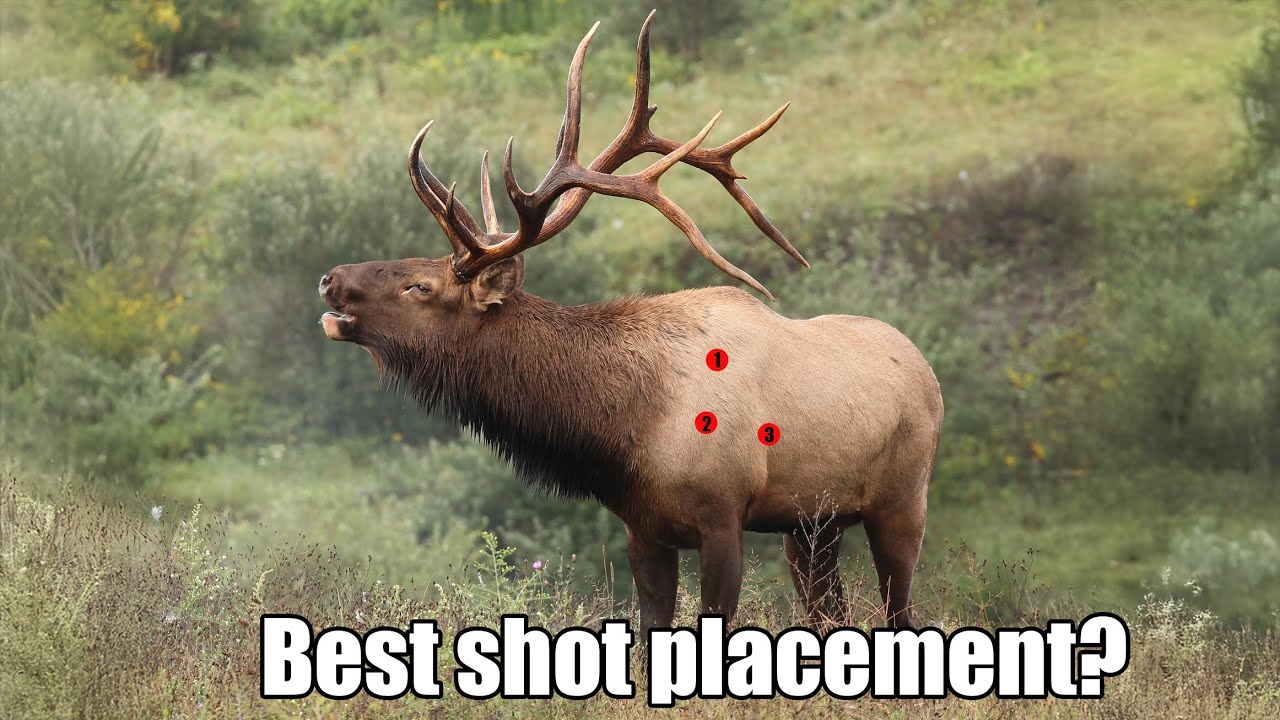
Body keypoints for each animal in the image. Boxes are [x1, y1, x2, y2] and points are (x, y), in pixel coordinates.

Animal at [318, 13, 943, 632]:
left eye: (420, 286)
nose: (330, 277)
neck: (628, 423)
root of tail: (927, 372)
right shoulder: (642, 526)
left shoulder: (723, 513)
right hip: (813, 524)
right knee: (829, 608)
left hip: (901, 499)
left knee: (900, 605)